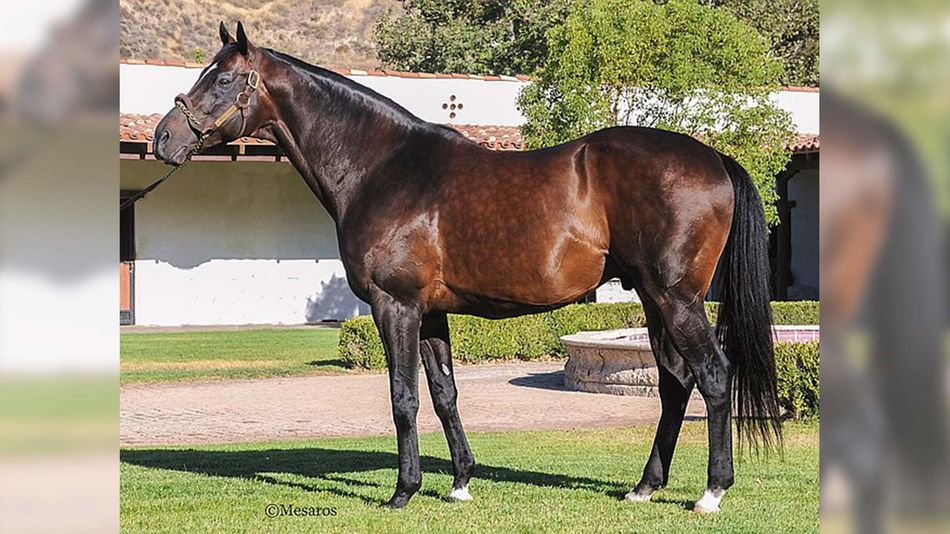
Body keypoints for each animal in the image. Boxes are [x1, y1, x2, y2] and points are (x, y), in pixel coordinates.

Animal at [153, 22, 781, 512]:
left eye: (224, 80)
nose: (163, 138)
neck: (383, 167)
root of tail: (714, 157)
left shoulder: (395, 305)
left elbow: (403, 397)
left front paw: (403, 491)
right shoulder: (429, 313)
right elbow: (444, 393)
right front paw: (459, 482)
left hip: (677, 299)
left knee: (714, 376)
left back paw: (711, 493)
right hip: (654, 300)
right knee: (675, 383)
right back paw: (645, 487)